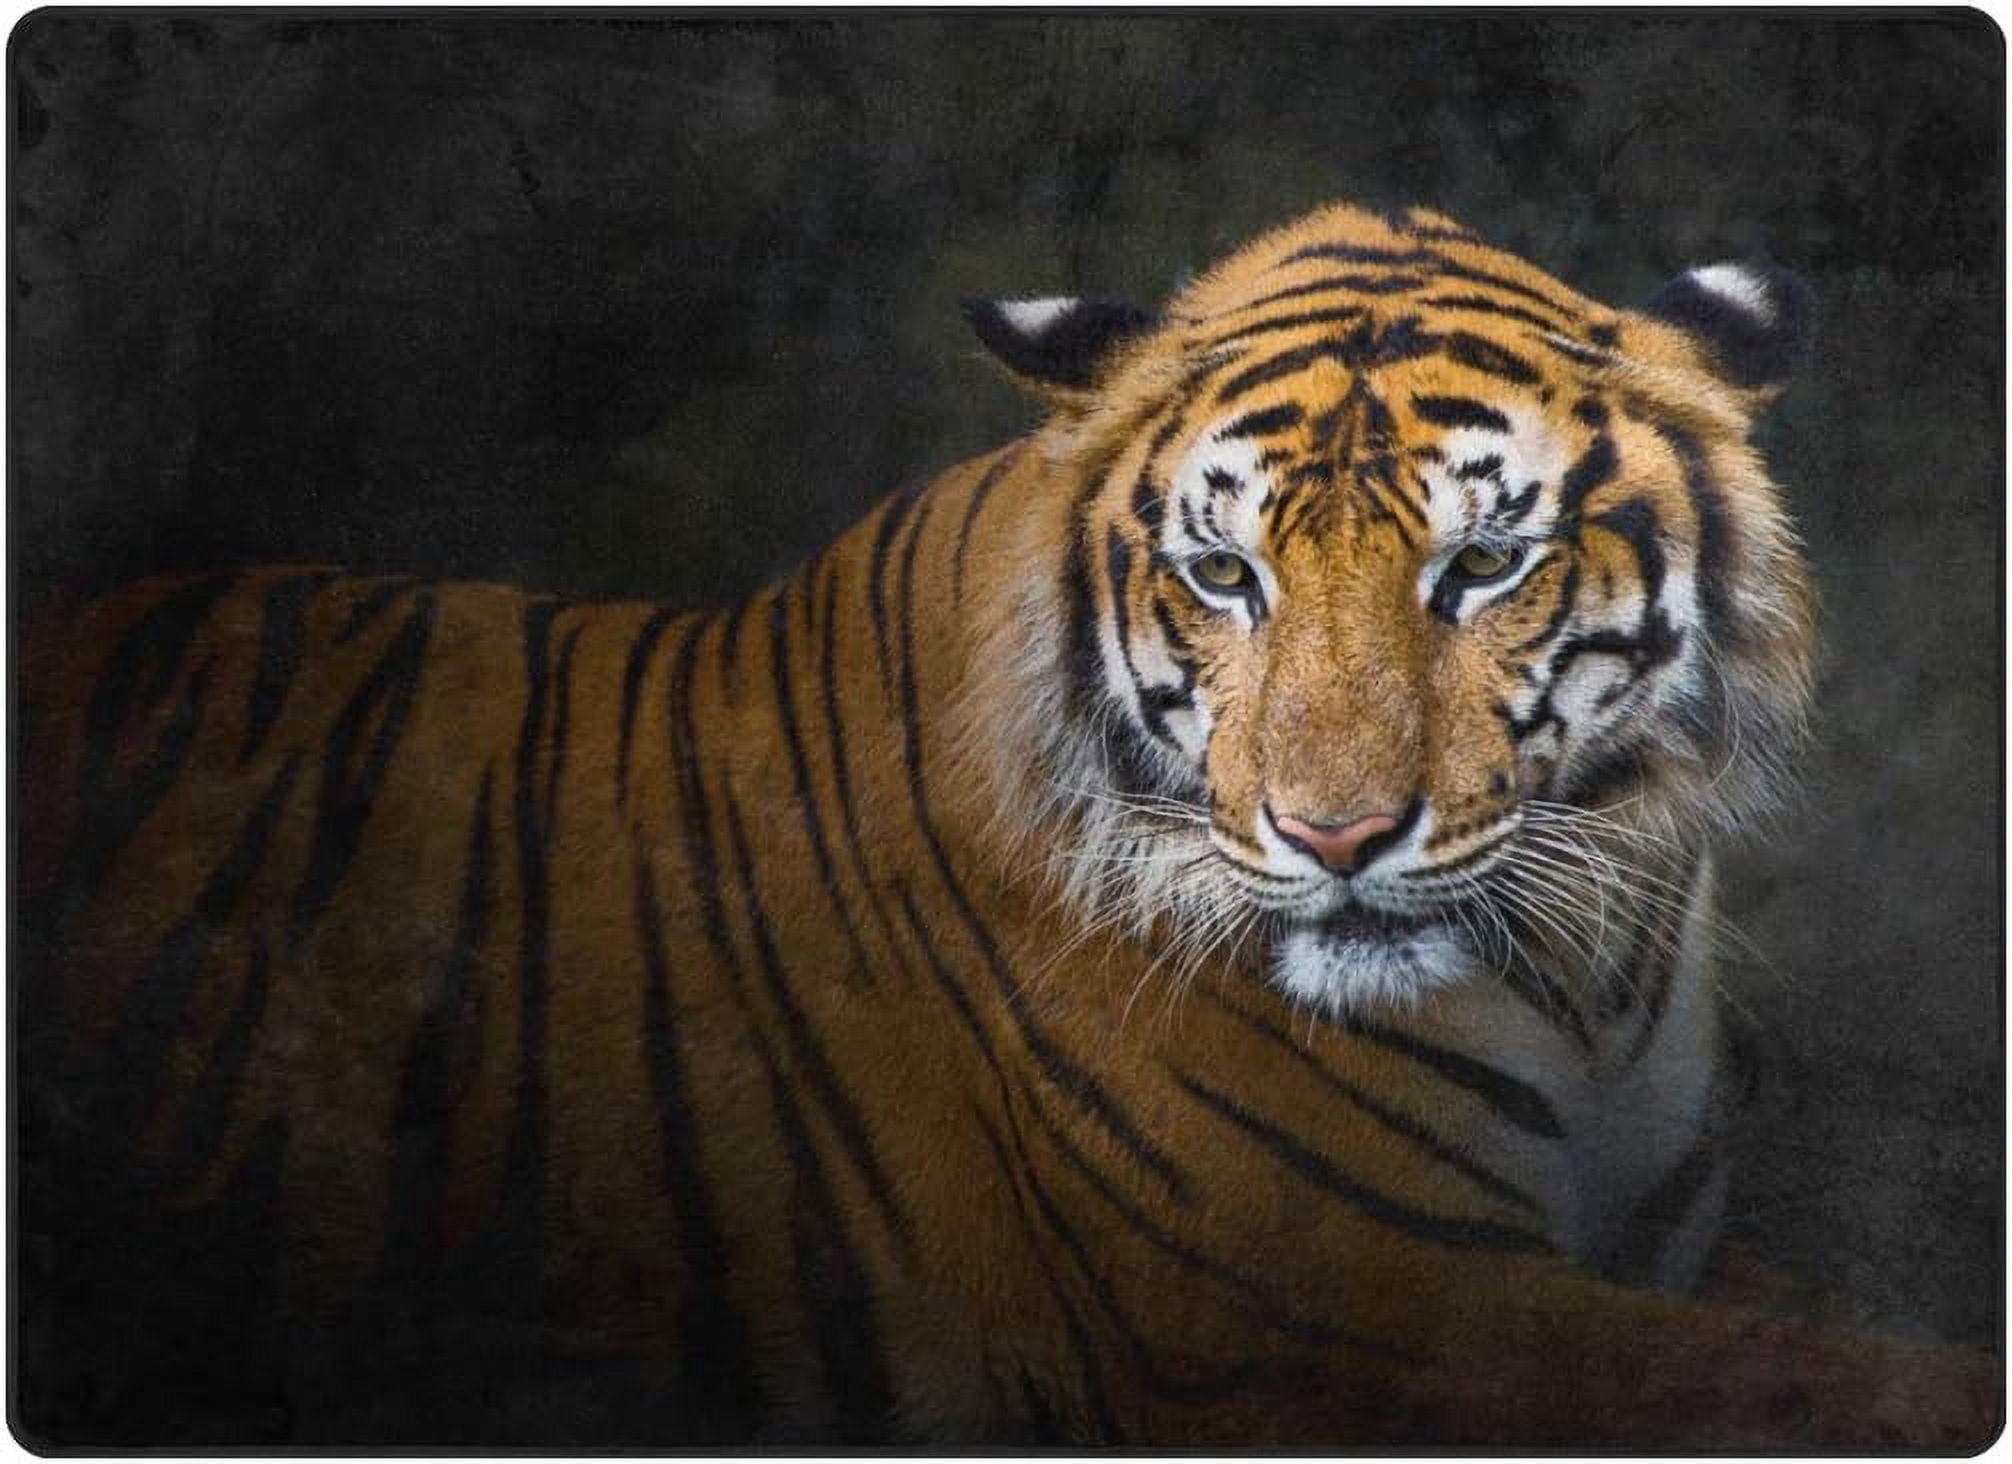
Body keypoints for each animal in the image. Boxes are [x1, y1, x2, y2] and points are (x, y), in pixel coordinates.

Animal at [15, 199, 1995, 1448]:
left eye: (1484, 564)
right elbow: (1816, 1381)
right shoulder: (1340, 1313)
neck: (1581, 971)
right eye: (1225, 574)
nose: (1333, 837)